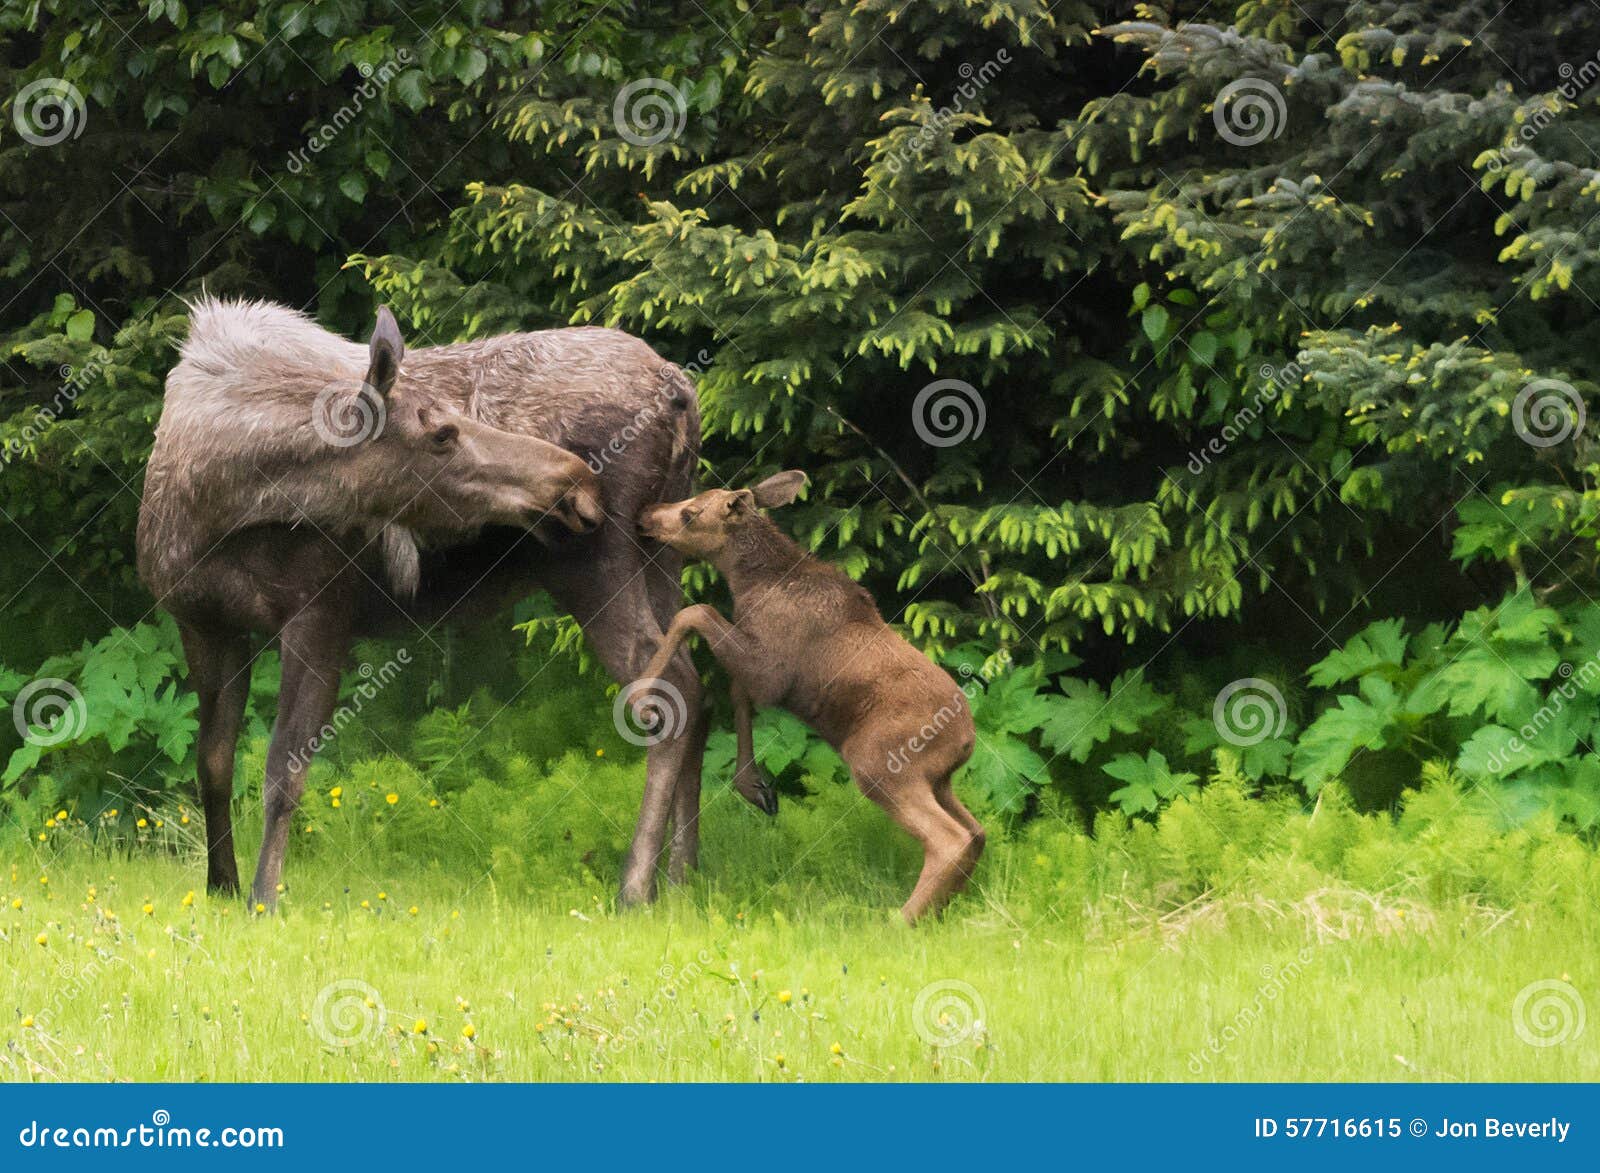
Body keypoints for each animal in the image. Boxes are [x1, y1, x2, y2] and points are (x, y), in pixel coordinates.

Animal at [138, 297, 720, 910]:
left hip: (596, 569)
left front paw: (263, 899)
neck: (216, 510)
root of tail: (682, 391)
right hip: (661, 554)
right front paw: (221, 885)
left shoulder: (319, 616)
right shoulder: (204, 623)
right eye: (442, 432)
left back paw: (635, 886)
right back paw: (681, 878)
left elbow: (283, 771)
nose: (579, 482)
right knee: (699, 686)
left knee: (674, 691)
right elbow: (213, 762)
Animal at [632, 471, 985, 922]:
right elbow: (737, 692)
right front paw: (755, 786)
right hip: (939, 780)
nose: (646, 514)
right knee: (976, 833)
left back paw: (898, 921)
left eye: (690, 513)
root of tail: (967, 741)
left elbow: (695, 613)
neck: (748, 582)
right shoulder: (757, 668)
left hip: (880, 764)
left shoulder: (772, 671)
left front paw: (643, 687)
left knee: (948, 839)